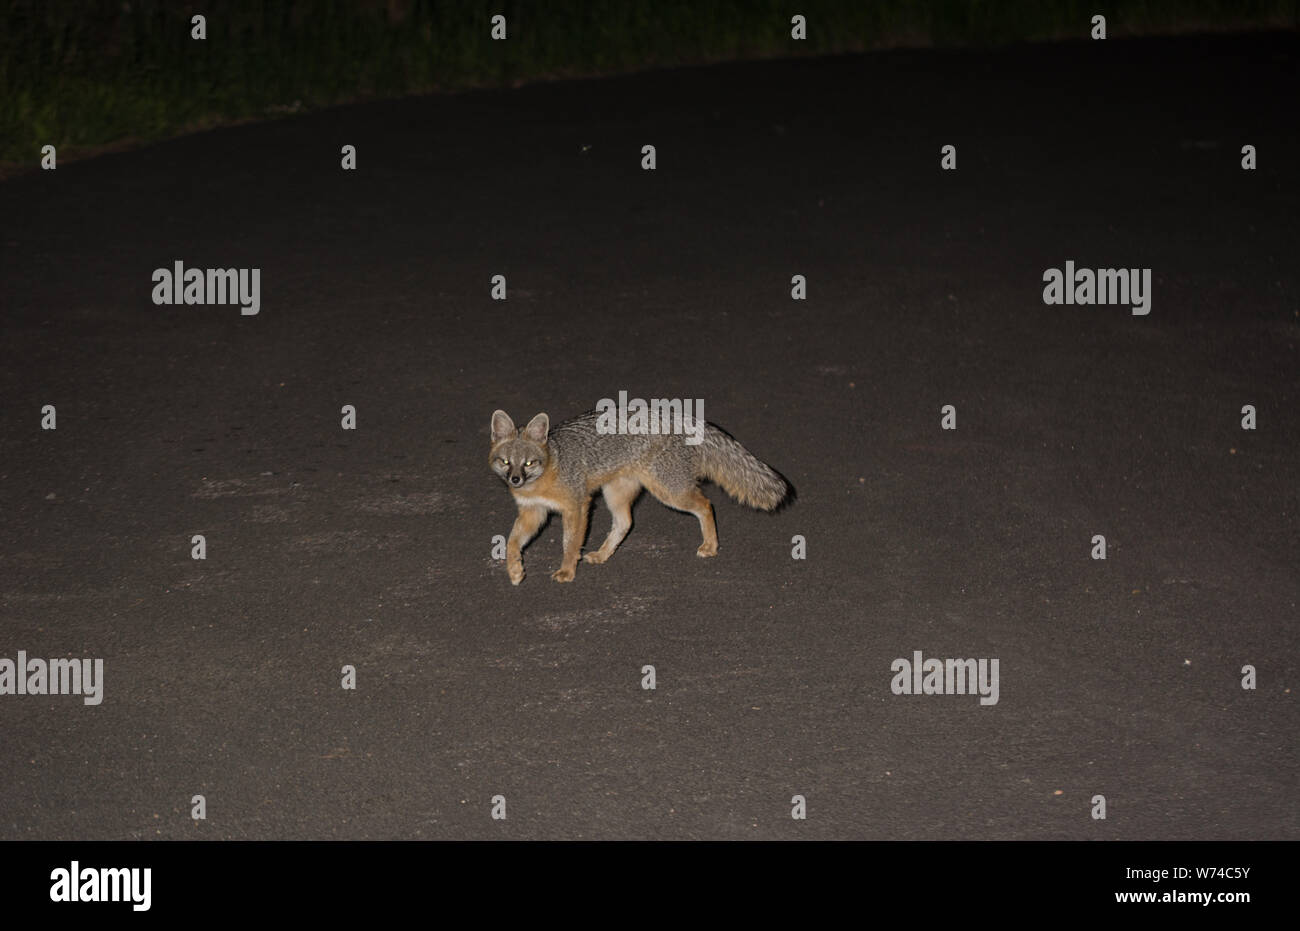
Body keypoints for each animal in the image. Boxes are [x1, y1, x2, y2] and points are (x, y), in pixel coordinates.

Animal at [489, 408, 789, 584]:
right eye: (505, 462)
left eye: (529, 463)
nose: (515, 480)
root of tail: (672, 416)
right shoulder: (533, 511)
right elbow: (512, 541)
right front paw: (515, 570)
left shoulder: (577, 505)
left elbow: (570, 542)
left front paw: (567, 571)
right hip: (615, 493)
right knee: (625, 523)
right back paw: (603, 554)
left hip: (670, 492)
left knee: (706, 504)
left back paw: (711, 546)